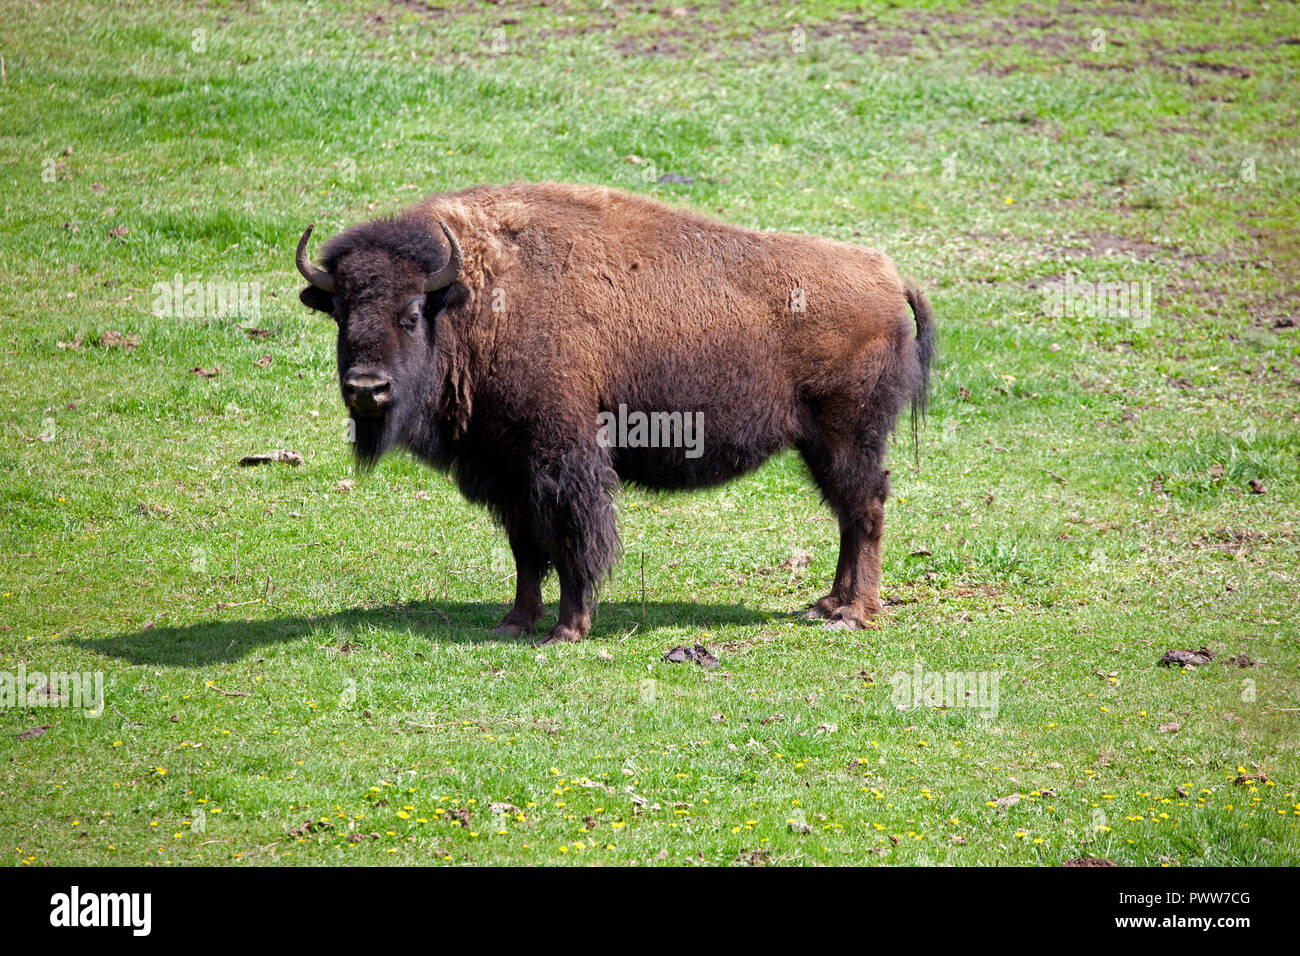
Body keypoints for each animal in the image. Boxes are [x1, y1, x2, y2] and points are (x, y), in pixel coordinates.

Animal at [296, 182, 934, 643]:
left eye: (410, 314)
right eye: (341, 314)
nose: (367, 388)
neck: (474, 298)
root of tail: (889, 275)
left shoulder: (562, 459)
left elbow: (574, 540)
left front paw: (568, 629)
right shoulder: (508, 473)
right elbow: (527, 549)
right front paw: (515, 621)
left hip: (845, 436)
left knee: (865, 507)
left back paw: (854, 612)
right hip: (824, 445)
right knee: (851, 513)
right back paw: (828, 604)